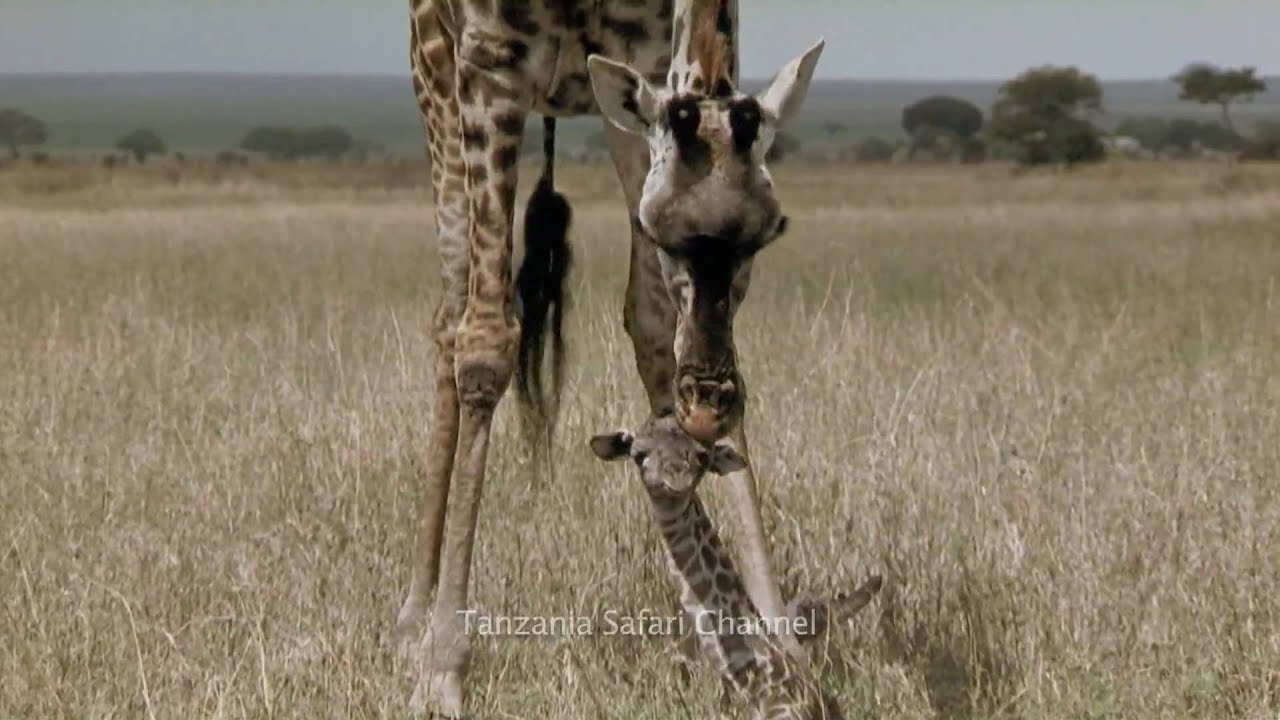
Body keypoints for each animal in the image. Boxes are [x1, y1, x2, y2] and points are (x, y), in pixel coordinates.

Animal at [401, 1, 824, 715]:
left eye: (771, 232)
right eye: (660, 228)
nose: (706, 408)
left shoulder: (648, 72)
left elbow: (659, 329)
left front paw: (768, 641)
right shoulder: (489, 66)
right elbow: (485, 345)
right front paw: (443, 670)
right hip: (436, 84)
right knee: (451, 317)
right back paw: (414, 615)